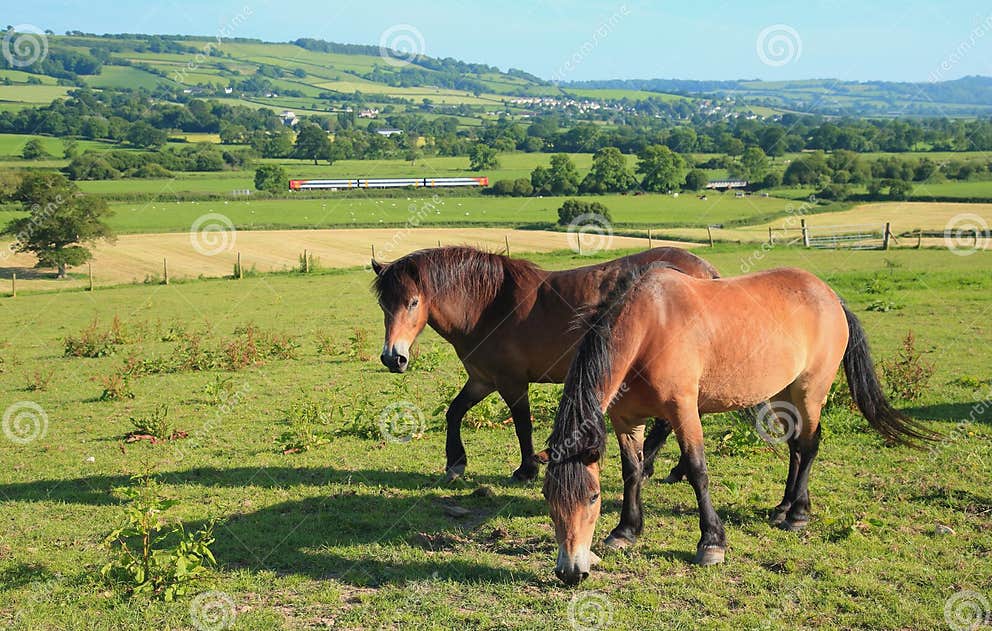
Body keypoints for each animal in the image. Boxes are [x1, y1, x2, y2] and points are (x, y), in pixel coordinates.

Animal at [371, 246, 721, 482]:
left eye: (413, 302)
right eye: (383, 305)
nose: (392, 357)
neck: (489, 305)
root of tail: (705, 271)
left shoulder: (511, 382)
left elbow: (522, 424)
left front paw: (526, 469)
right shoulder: (483, 380)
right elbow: (454, 412)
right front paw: (456, 462)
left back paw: (651, 465)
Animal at [542, 262, 936, 585]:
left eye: (593, 497)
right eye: (548, 496)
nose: (571, 571)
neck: (649, 329)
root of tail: (829, 296)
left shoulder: (684, 411)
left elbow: (697, 471)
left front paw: (711, 543)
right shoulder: (626, 420)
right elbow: (632, 472)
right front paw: (625, 531)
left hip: (810, 392)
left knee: (809, 445)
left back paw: (798, 515)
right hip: (782, 392)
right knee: (796, 447)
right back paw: (783, 508)